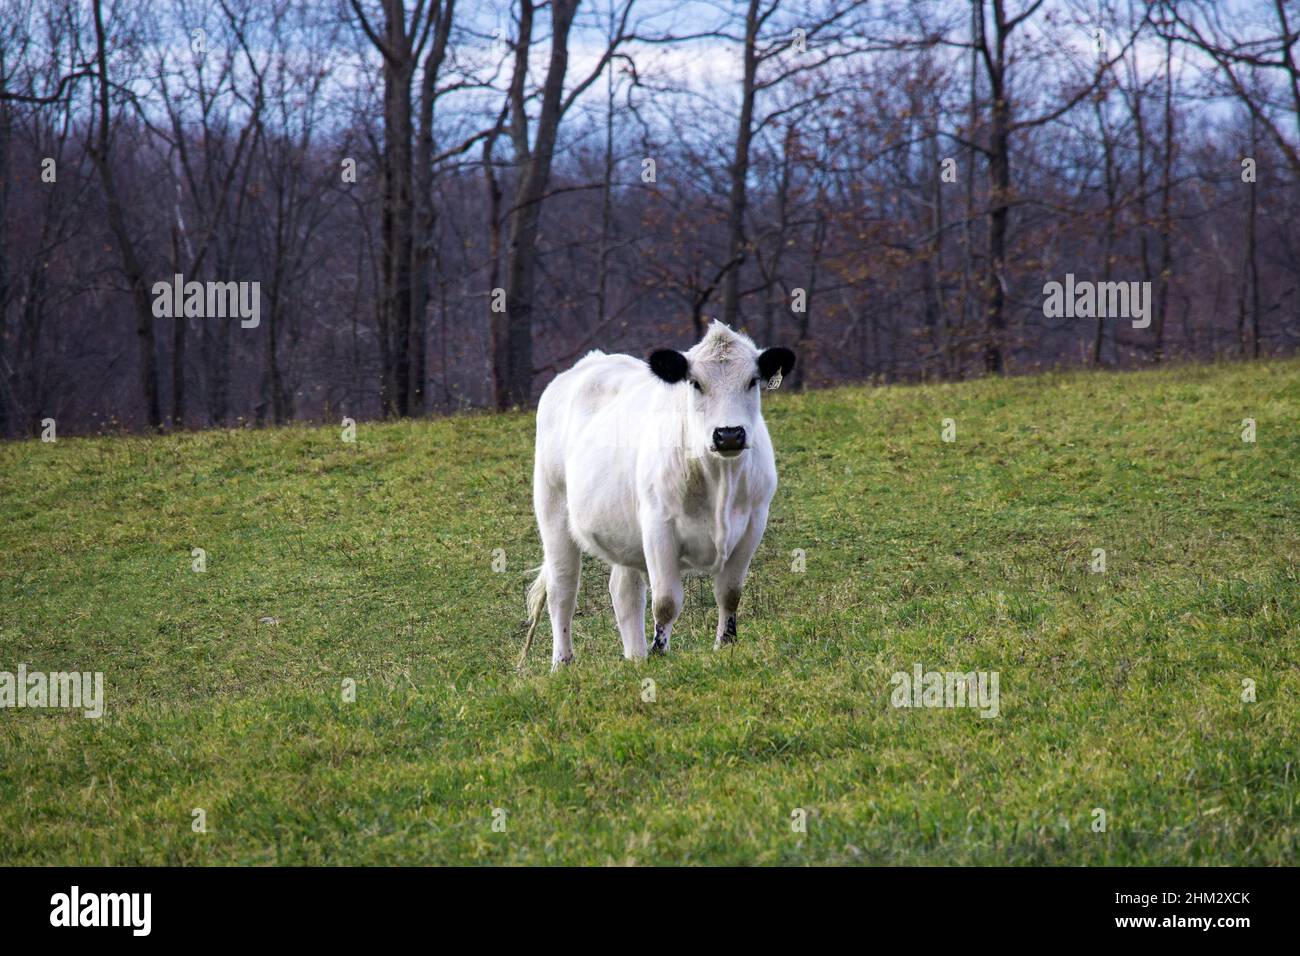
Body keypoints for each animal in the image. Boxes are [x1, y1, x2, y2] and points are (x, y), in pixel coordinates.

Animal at [519, 321, 796, 670]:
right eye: (695, 383)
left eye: (753, 381)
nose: (729, 434)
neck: (719, 478)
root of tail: (592, 360)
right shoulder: (657, 525)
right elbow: (665, 600)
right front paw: (659, 653)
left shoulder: (753, 524)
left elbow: (730, 593)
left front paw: (725, 645)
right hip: (552, 506)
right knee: (562, 588)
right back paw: (563, 662)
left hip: (621, 528)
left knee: (624, 591)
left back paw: (634, 657)